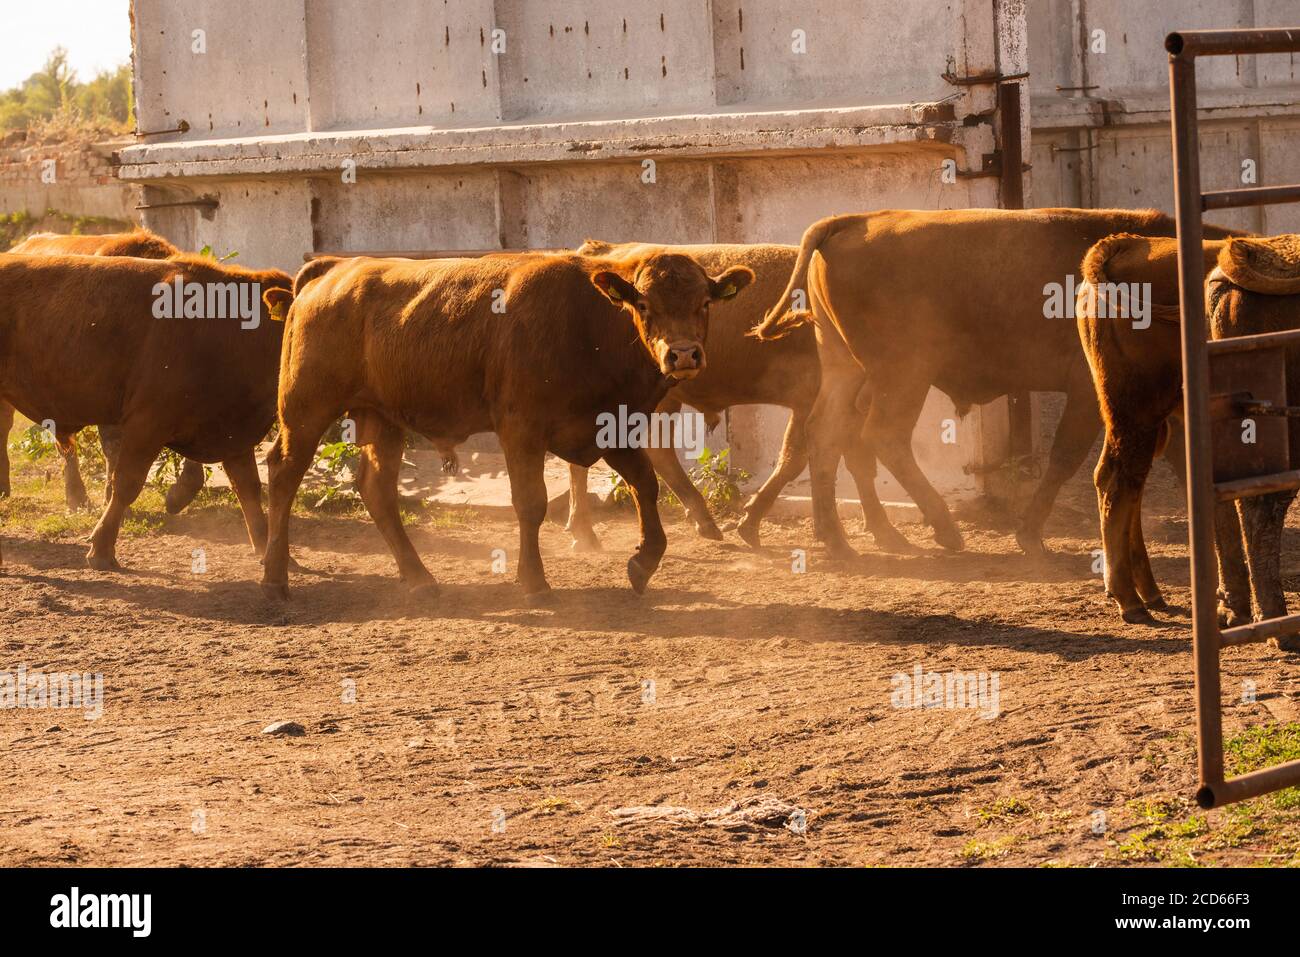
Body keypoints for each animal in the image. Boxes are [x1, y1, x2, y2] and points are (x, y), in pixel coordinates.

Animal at [259, 251, 754, 604]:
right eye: (645, 304)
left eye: (704, 303)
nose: (683, 354)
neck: (590, 323)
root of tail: (334, 270)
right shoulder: (521, 429)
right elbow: (531, 503)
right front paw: (534, 582)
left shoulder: (610, 426)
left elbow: (645, 486)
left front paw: (643, 563)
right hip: (305, 408)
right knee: (283, 472)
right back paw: (274, 576)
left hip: (382, 419)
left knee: (376, 490)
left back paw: (419, 577)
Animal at [566, 239, 909, 553]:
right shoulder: (816, 401)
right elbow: (802, 458)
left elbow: (851, 461)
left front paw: (881, 530)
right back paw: (584, 532)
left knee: (656, 450)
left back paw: (701, 520)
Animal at [752, 208, 1247, 559]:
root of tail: (856, 220)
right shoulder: (1092, 397)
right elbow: (1064, 458)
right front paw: (1029, 534)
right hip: (904, 375)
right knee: (880, 437)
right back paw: (943, 529)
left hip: (846, 369)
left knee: (827, 436)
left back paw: (844, 538)